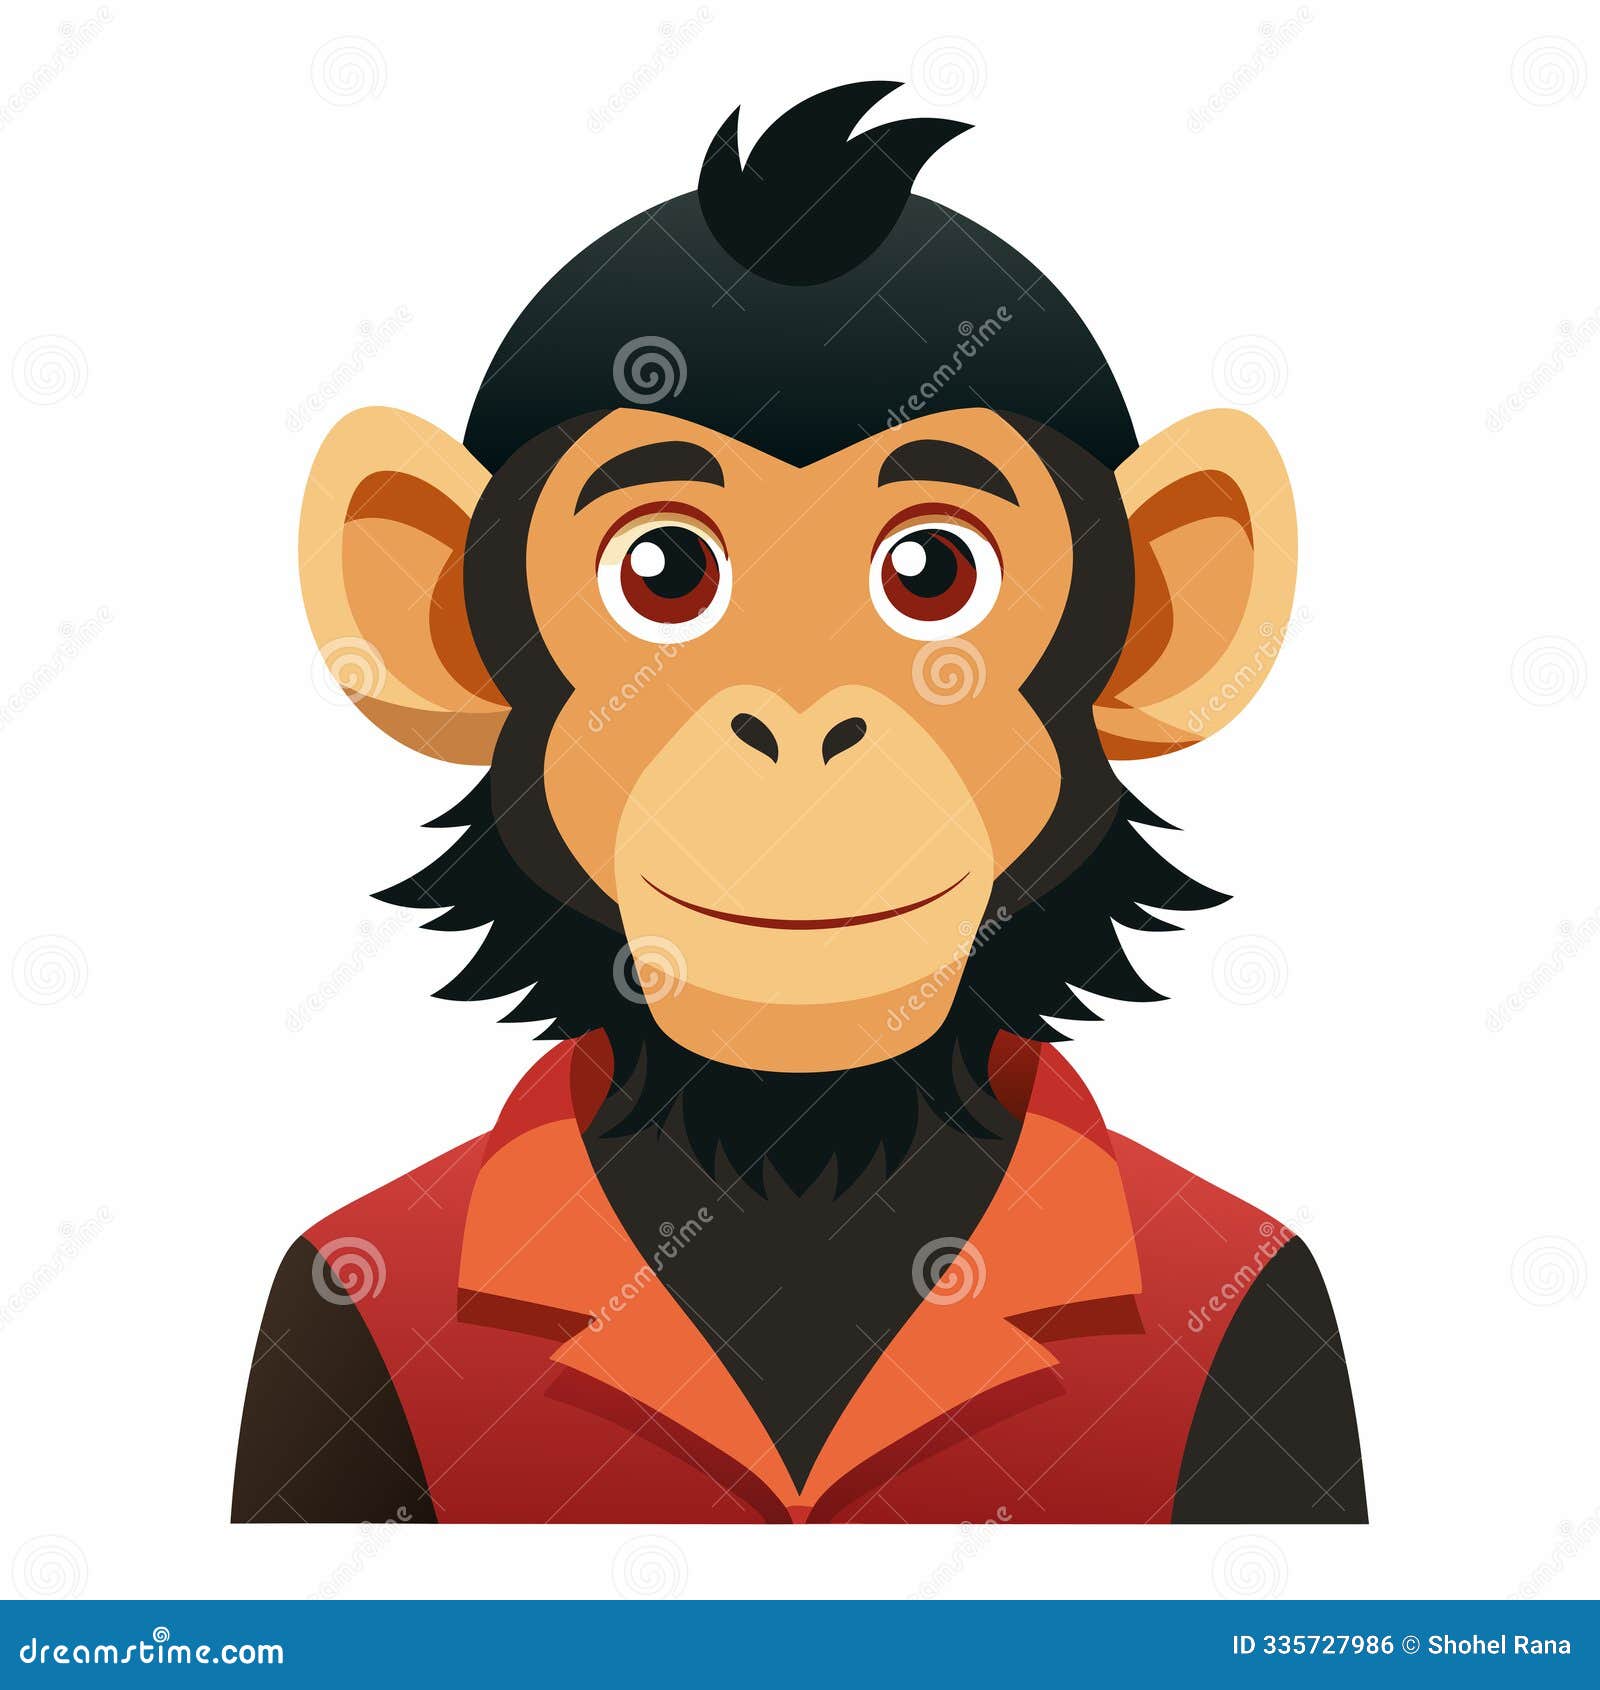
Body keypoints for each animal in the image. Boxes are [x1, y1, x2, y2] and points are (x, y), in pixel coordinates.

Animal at [234, 82, 1364, 1525]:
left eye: (932, 571)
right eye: (663, 570)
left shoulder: (1282, 1311)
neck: (795, 1140)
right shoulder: (317, 1313)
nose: (801, 727)